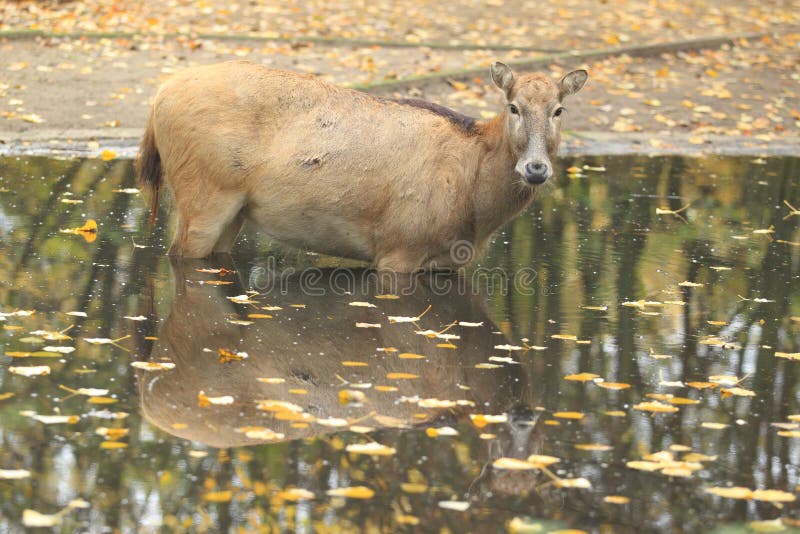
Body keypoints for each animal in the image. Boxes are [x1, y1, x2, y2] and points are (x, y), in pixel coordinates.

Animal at [136, 61, 587, 272]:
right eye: (513, 106)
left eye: (559, 109)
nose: (535, 169)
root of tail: (157, 100)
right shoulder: (400, 244)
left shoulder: (444, 264)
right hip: (203, 193)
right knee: (178, 253)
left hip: (232, 211)